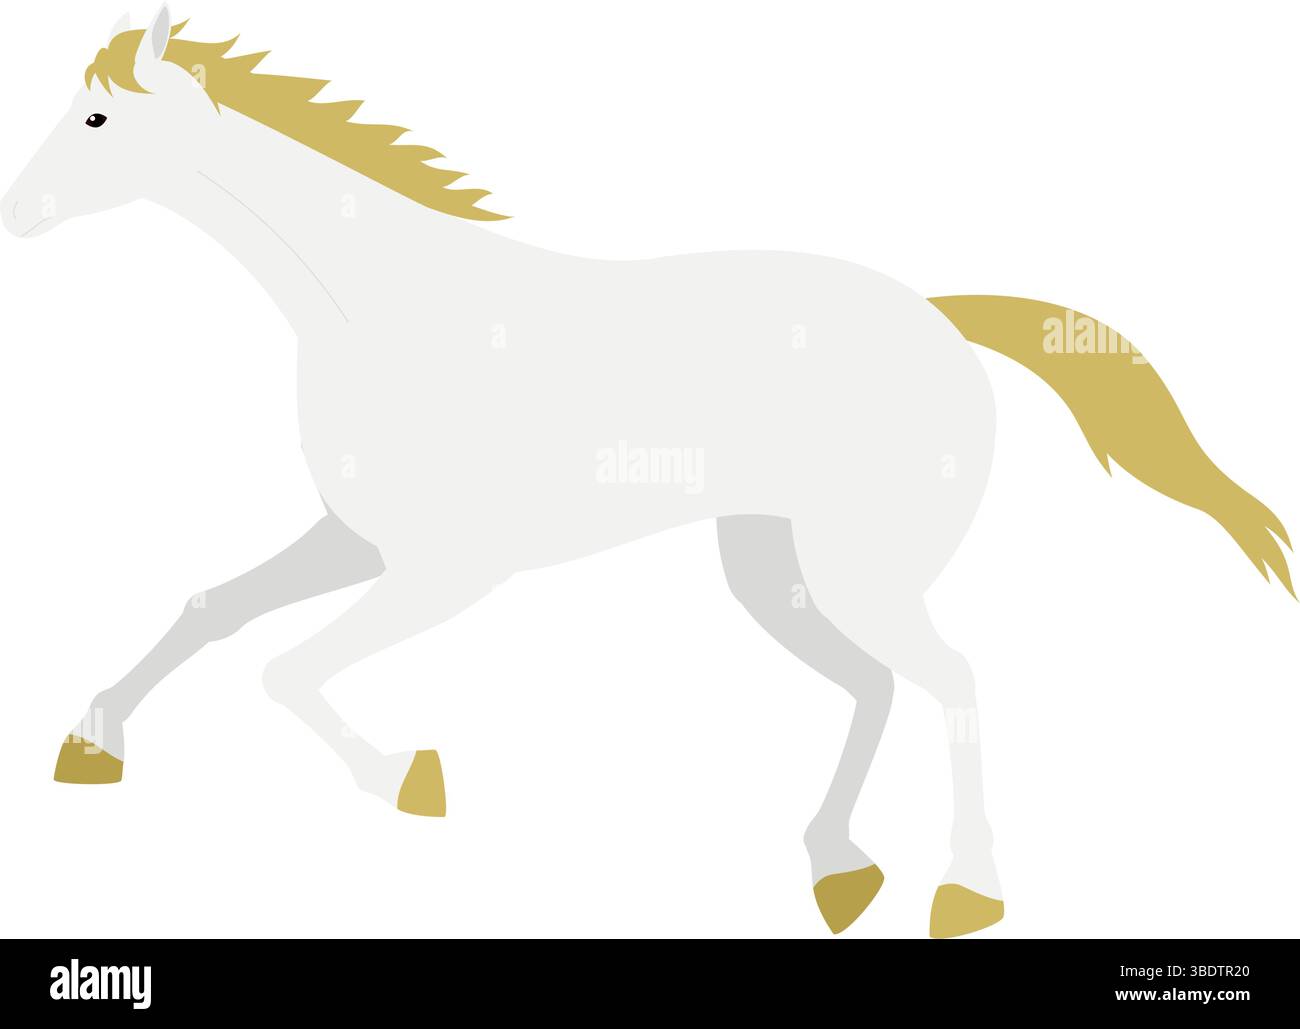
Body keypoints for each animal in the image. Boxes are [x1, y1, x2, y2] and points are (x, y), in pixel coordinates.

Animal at [4, 7, 1290, 938]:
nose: (20, 214)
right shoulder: (362, 539)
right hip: (771, 569)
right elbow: (211, 609)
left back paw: (964, 891)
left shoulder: (447, 573)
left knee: (953, 677)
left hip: (859, 570)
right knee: (875, 687)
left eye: (99, 118)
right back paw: (838, 872)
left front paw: (412, 777)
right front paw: (90, 746)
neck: (383, 307)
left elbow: (288, 668)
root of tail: (936, 314)